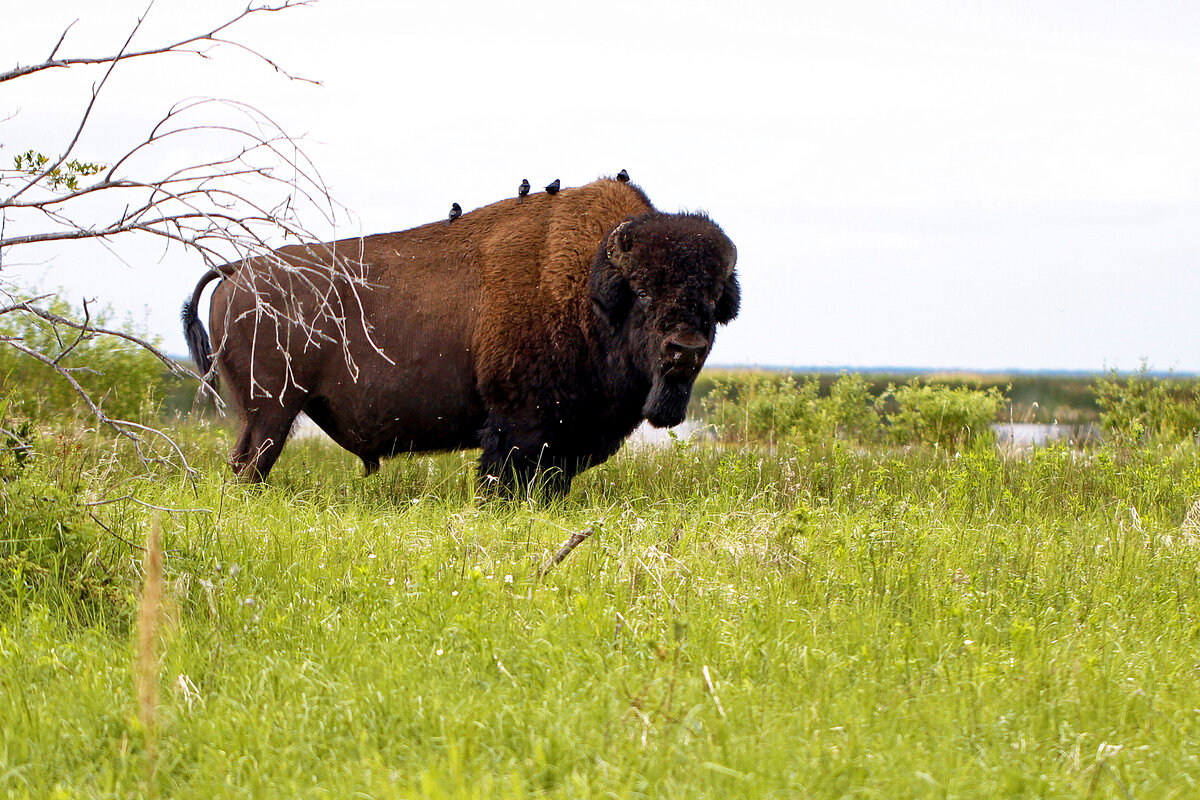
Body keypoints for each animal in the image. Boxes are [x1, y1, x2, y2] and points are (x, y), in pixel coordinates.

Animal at [182, 177, 739, 495]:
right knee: (248, 464)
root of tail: (236, 270)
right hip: (270, 412)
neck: (589, 286)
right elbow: (504, 476)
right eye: (642, 291)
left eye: (714, 300)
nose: (684, 350)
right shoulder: (520, 427)